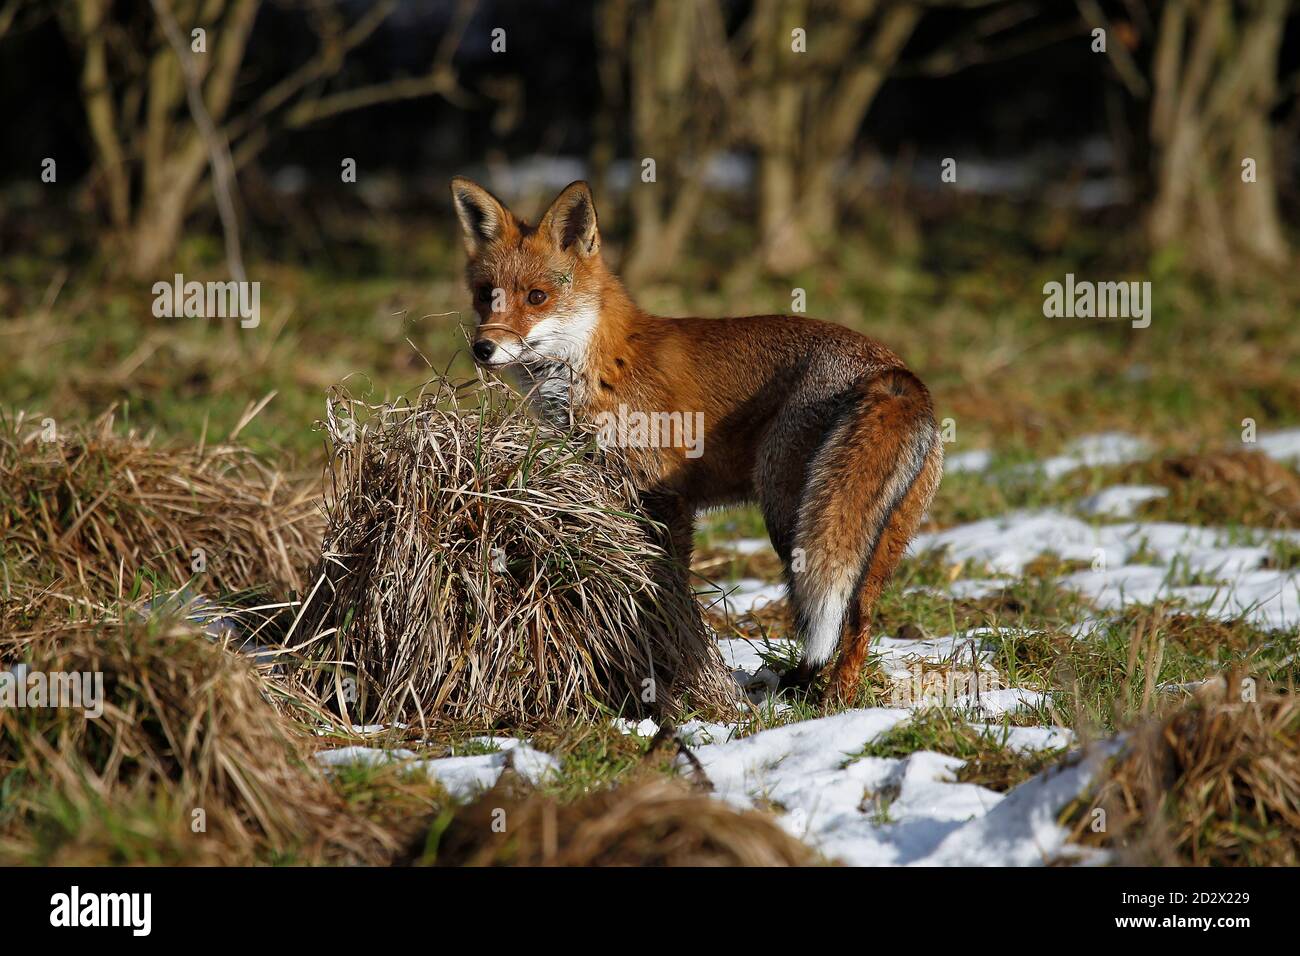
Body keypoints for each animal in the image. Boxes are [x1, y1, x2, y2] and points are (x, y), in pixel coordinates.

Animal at [451, 176, 943, 703]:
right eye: (486, 295)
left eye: (537, 296)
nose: (482, 348)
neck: (599, 365)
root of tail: (895, 374)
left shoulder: (666, 497)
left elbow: (668, 586)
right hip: (875, 535)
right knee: (861, 615)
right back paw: (836, 696)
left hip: (791, 514)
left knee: (839, 610)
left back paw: (826, 697)